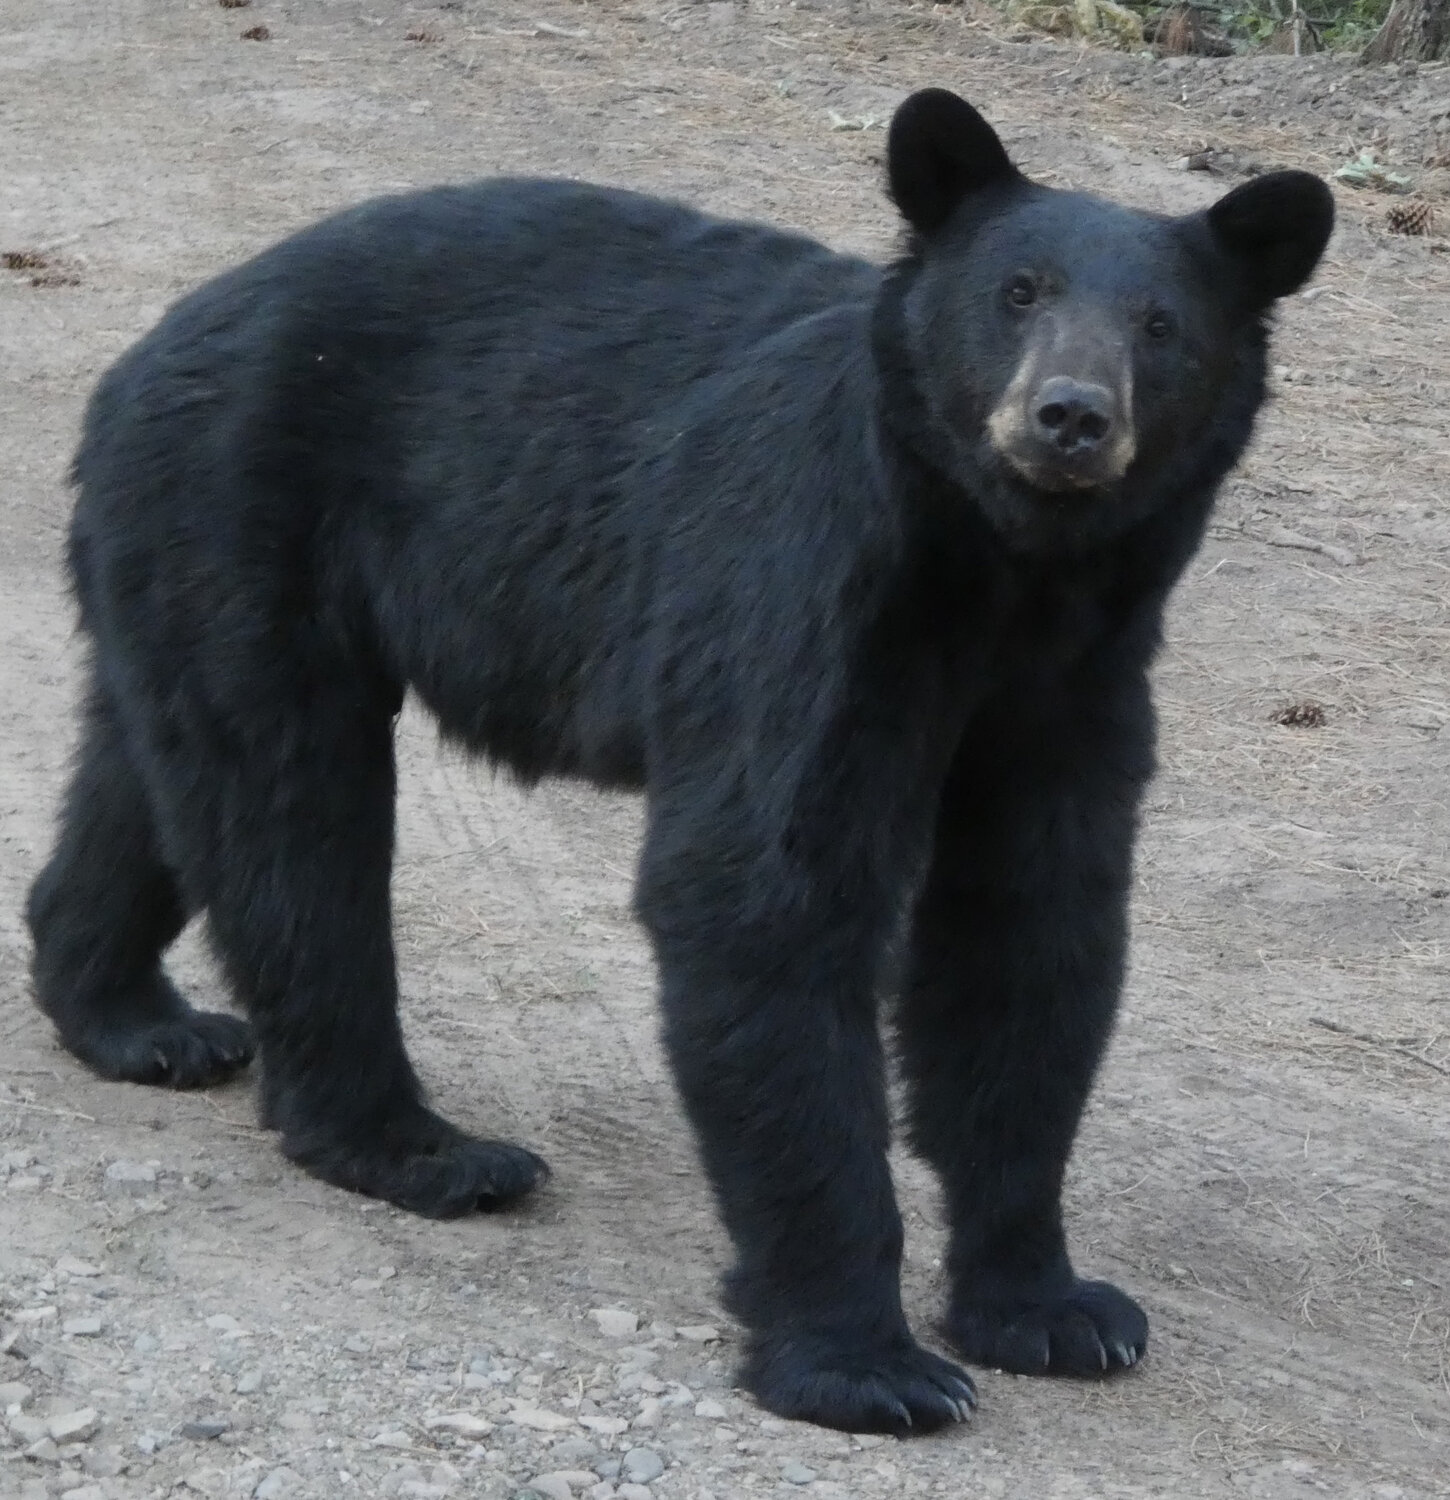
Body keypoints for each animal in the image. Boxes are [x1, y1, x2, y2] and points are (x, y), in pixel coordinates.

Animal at [27, 89, 1333, 1434]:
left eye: (1161, 326)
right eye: (1015, 293)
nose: (1070, 415)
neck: (1004, 574)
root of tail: (147, 348)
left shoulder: (1074, 685)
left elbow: (1030, 937)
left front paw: (1054, 1306)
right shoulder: (805, 595)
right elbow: (763, 896)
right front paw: (866, 1363)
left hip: (190, 557)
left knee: (163, 778)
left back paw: (136, 1017)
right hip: (246, 515)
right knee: (290, 817)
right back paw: (420, 1147)